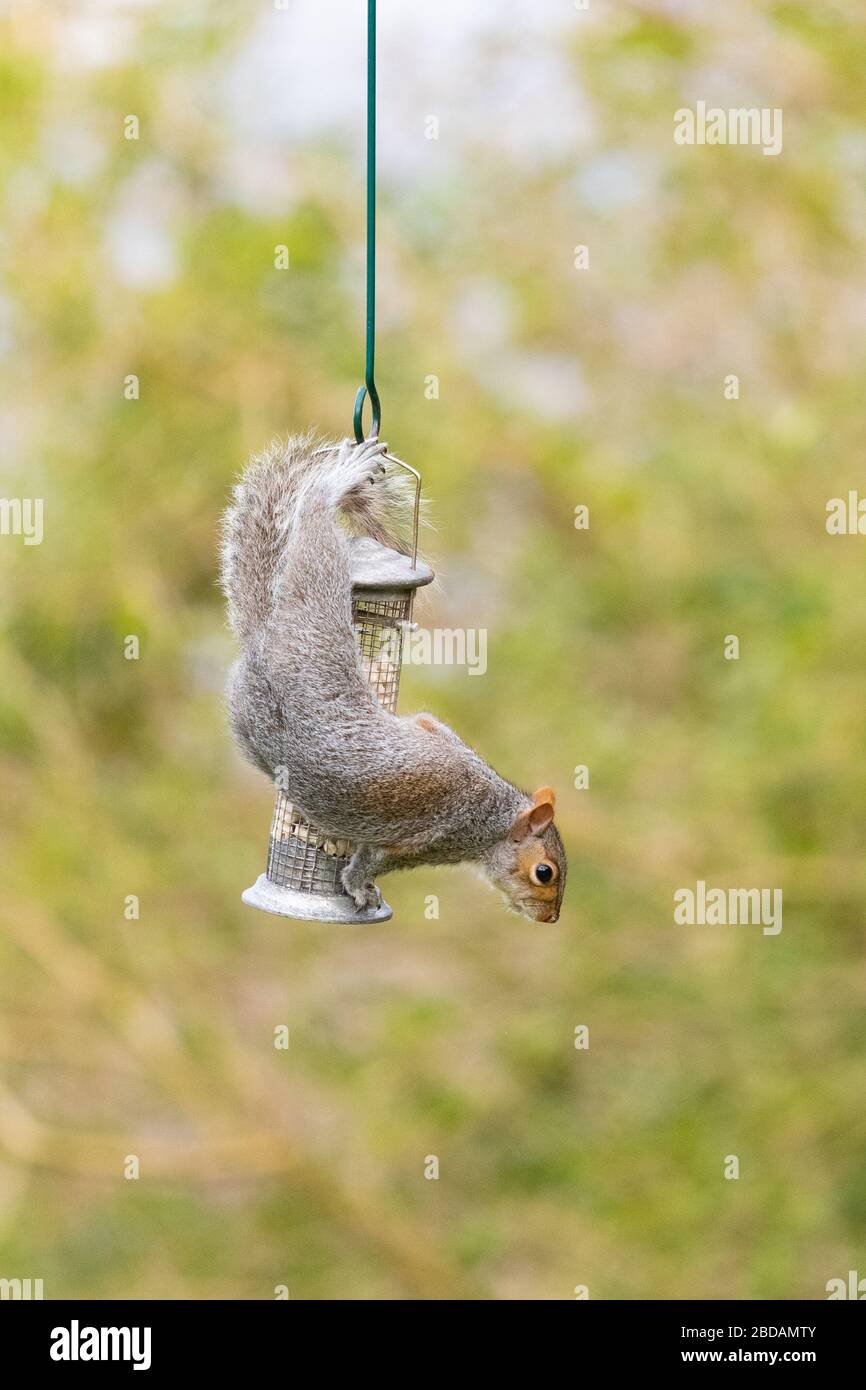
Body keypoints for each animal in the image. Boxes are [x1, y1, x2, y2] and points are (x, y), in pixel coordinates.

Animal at [220, 434, 566, 922]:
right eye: (544, 873)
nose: (550, 918)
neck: (496, 813)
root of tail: (261, 640)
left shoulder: (437, 731)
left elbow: (426, 722)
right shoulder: (433, 839)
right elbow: (374, 859)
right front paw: (359, 886)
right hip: (315, 624)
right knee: (314, 541)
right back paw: (337, 480)